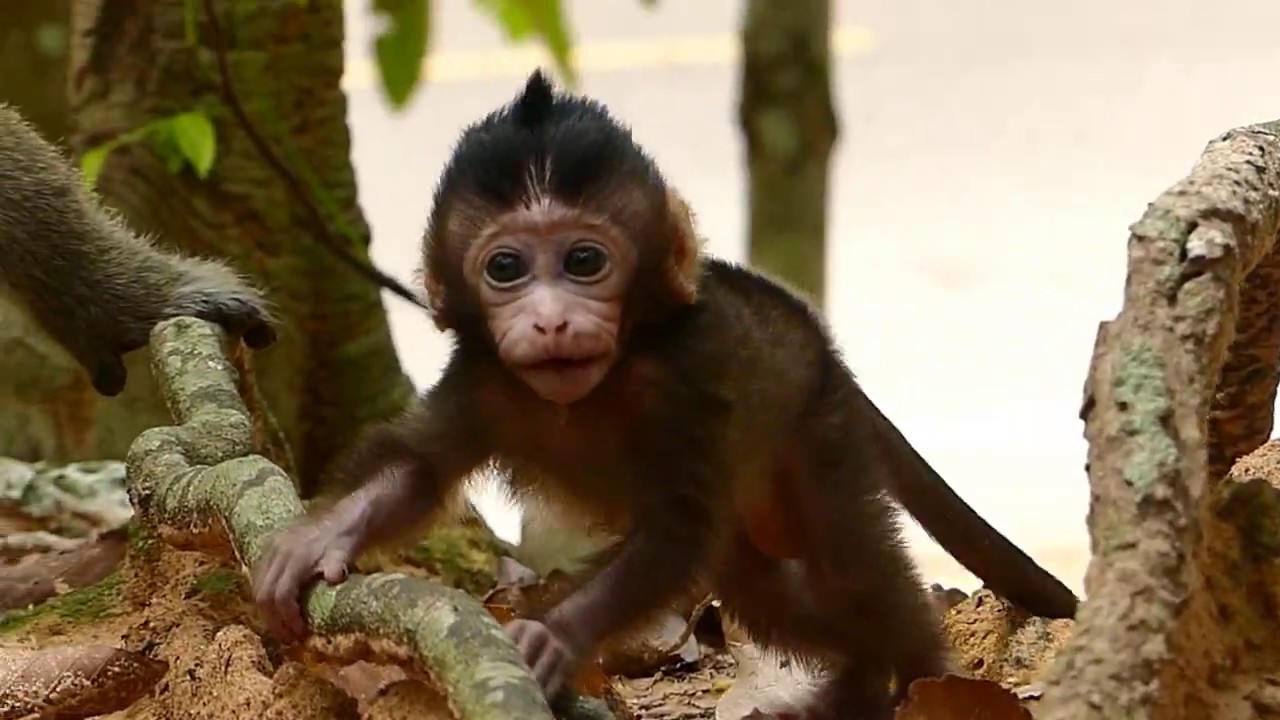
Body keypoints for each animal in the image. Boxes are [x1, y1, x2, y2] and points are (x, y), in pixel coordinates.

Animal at [251, 70, 1076, 719]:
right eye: (506, 269)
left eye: (585, 261)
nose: (551, 320)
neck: (593, 387)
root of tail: (819, 344)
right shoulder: (480, 377)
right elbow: (418, 469)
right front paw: (323, 538)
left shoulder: (683, 381)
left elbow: (675, 529)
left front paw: (553, 633)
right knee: (759, 585)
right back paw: (859, 680)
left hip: (819, 430)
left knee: (854, 566)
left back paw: (921, 684)